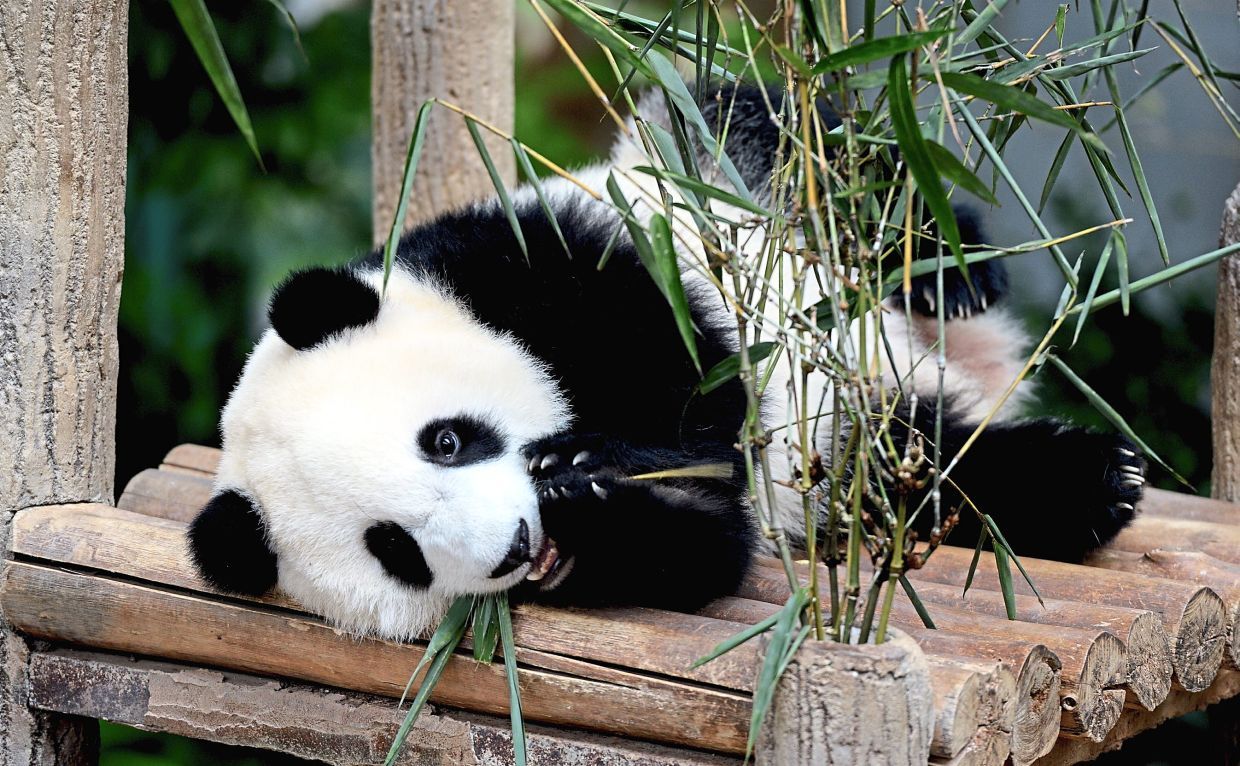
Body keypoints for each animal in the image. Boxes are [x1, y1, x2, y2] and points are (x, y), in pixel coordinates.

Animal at [187, 86, 1147, 641]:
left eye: (446, 440)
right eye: (397, 551)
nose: (515, 543)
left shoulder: (522, 257)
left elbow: (688, 365)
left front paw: (595, 460)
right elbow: (706, 545)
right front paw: (593, 500)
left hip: (716, 174)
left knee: (793, 138)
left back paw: (956, 269)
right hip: (867, 446)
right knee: (932, 465)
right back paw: (1093, 482)